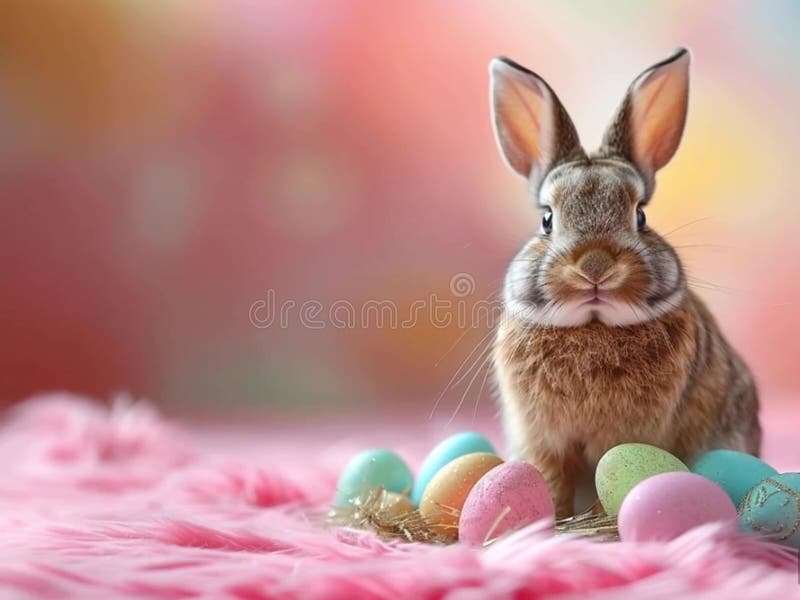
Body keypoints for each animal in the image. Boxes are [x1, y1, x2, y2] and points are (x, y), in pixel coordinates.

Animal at [489, 48, 761, 518]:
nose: (595, 266)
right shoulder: (543, 441)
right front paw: (555, 518)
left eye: (641, 216)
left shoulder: (625, 439)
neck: (593, 327)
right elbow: (547, 478)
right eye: (547, 219)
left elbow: (613, 470)